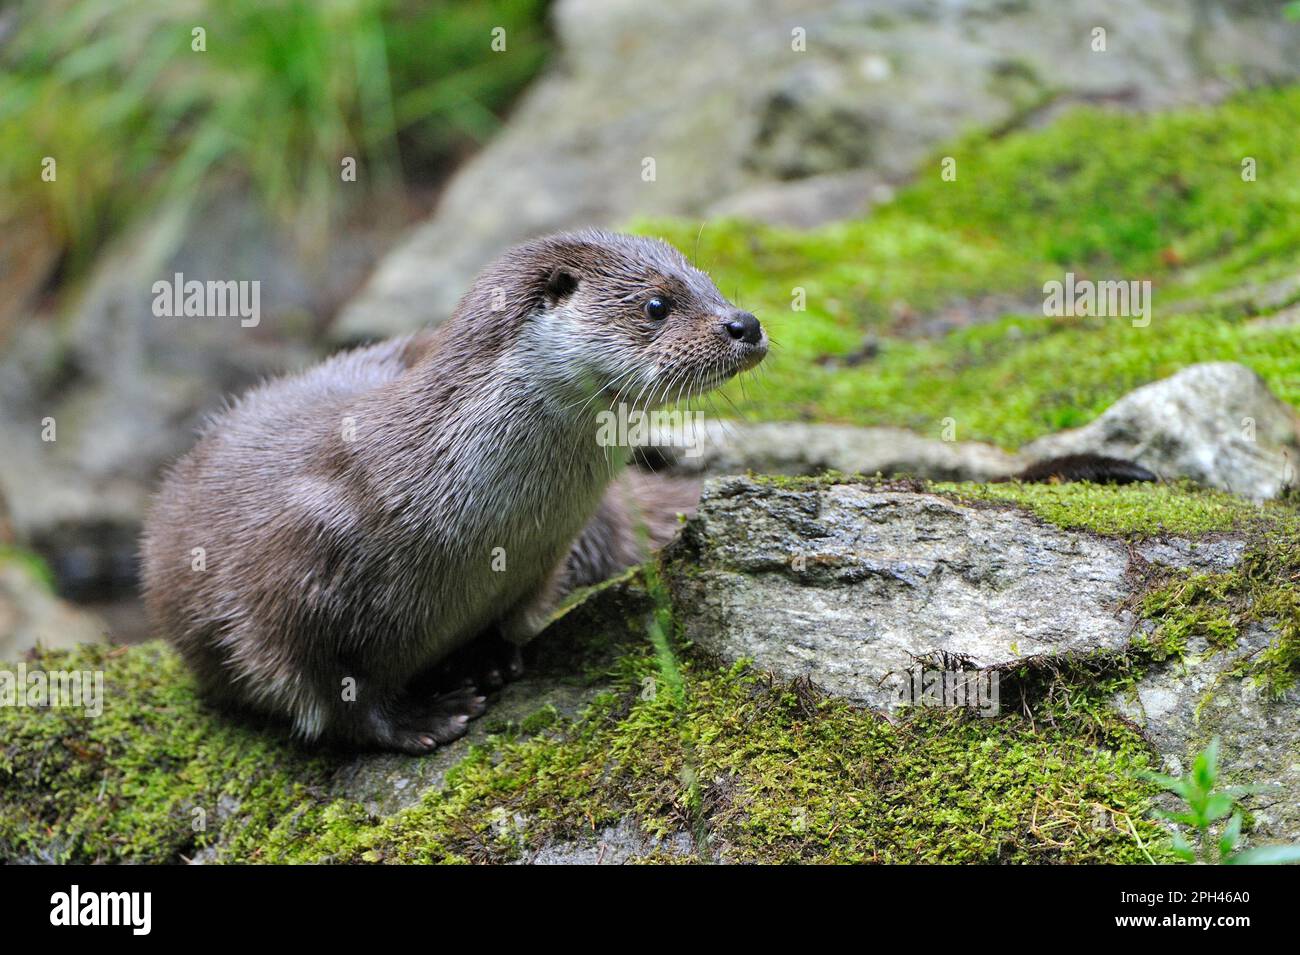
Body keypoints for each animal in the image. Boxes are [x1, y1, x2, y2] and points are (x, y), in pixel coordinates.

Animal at [142, 230, 767, 753]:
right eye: (656, 306)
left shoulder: (545, 556)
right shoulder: (293, 572)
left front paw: (484, 658)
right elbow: (327, 690)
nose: (747, 323)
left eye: (709, 282)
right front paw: (419, 720)